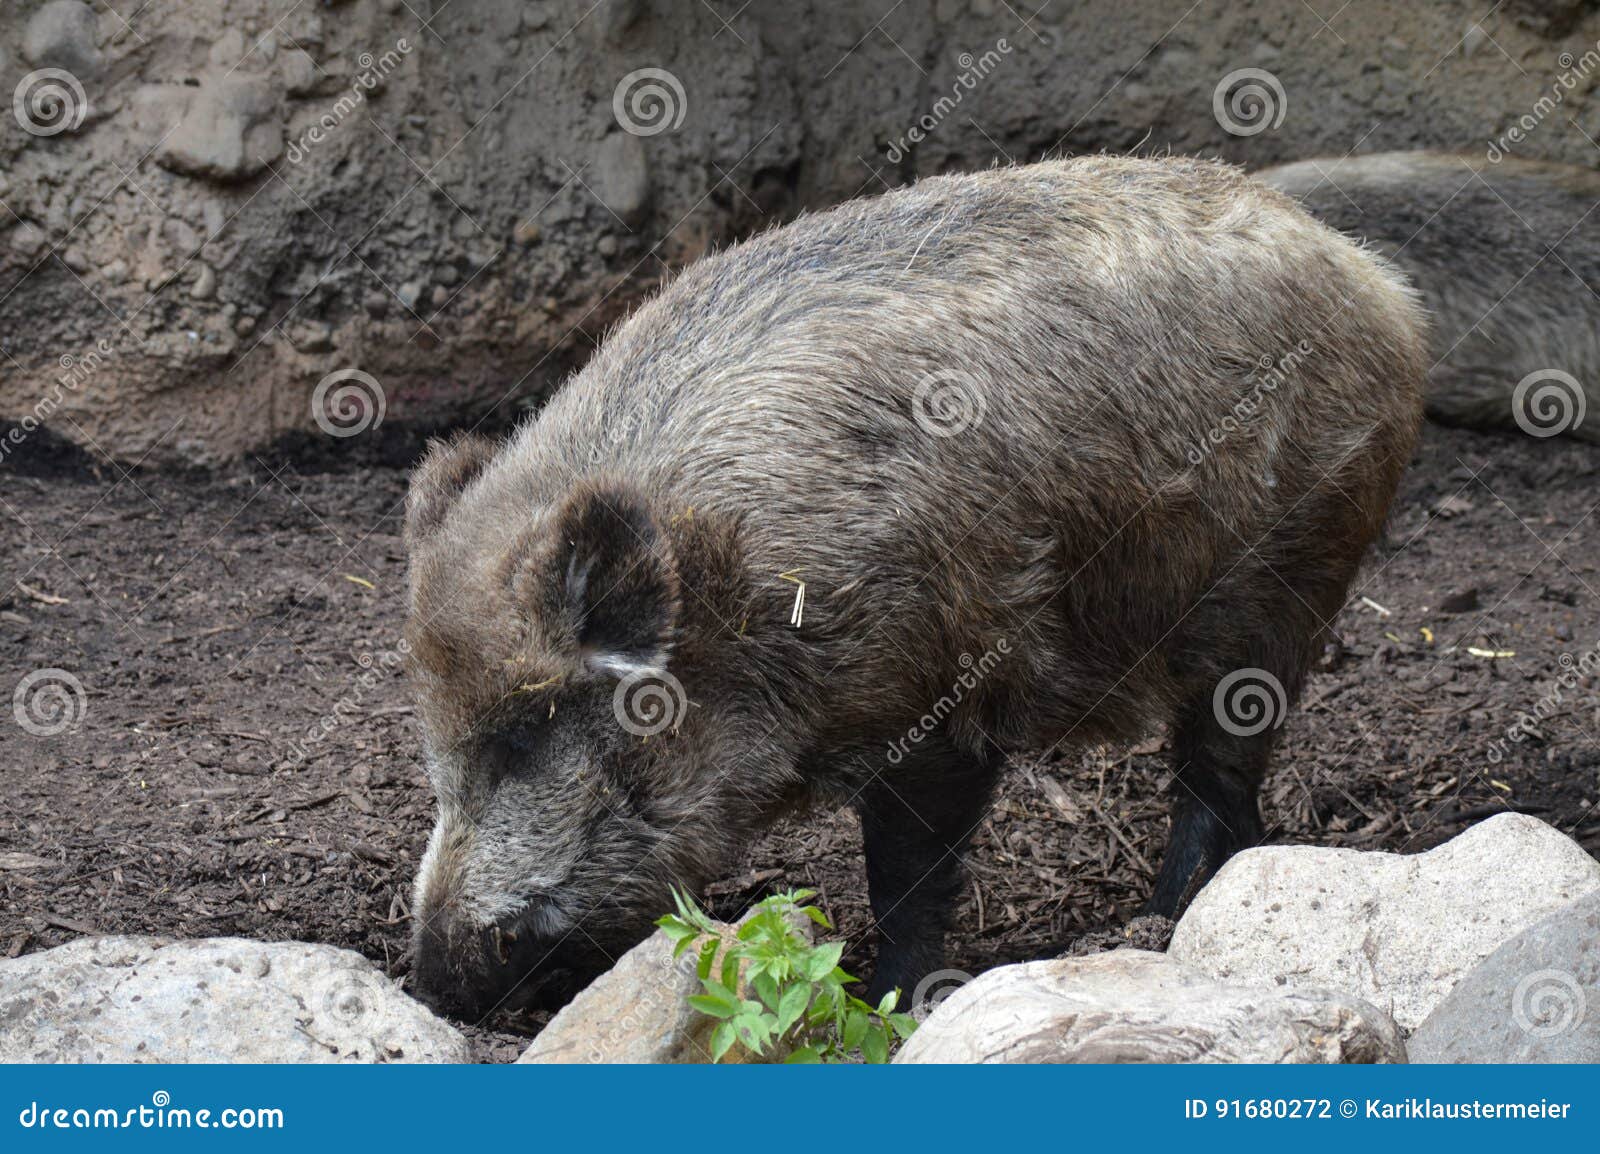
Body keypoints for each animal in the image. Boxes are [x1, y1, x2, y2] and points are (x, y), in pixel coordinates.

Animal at [404, 155, 1428, 1020]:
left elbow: (906, 872)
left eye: (523, 734)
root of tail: (1377, 286)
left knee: (1221, 768)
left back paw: (1161, 919)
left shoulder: (939, 691)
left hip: (1287, 582)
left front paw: (885, 1002)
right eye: (437, 737)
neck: (736, 589)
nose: (436, 980)